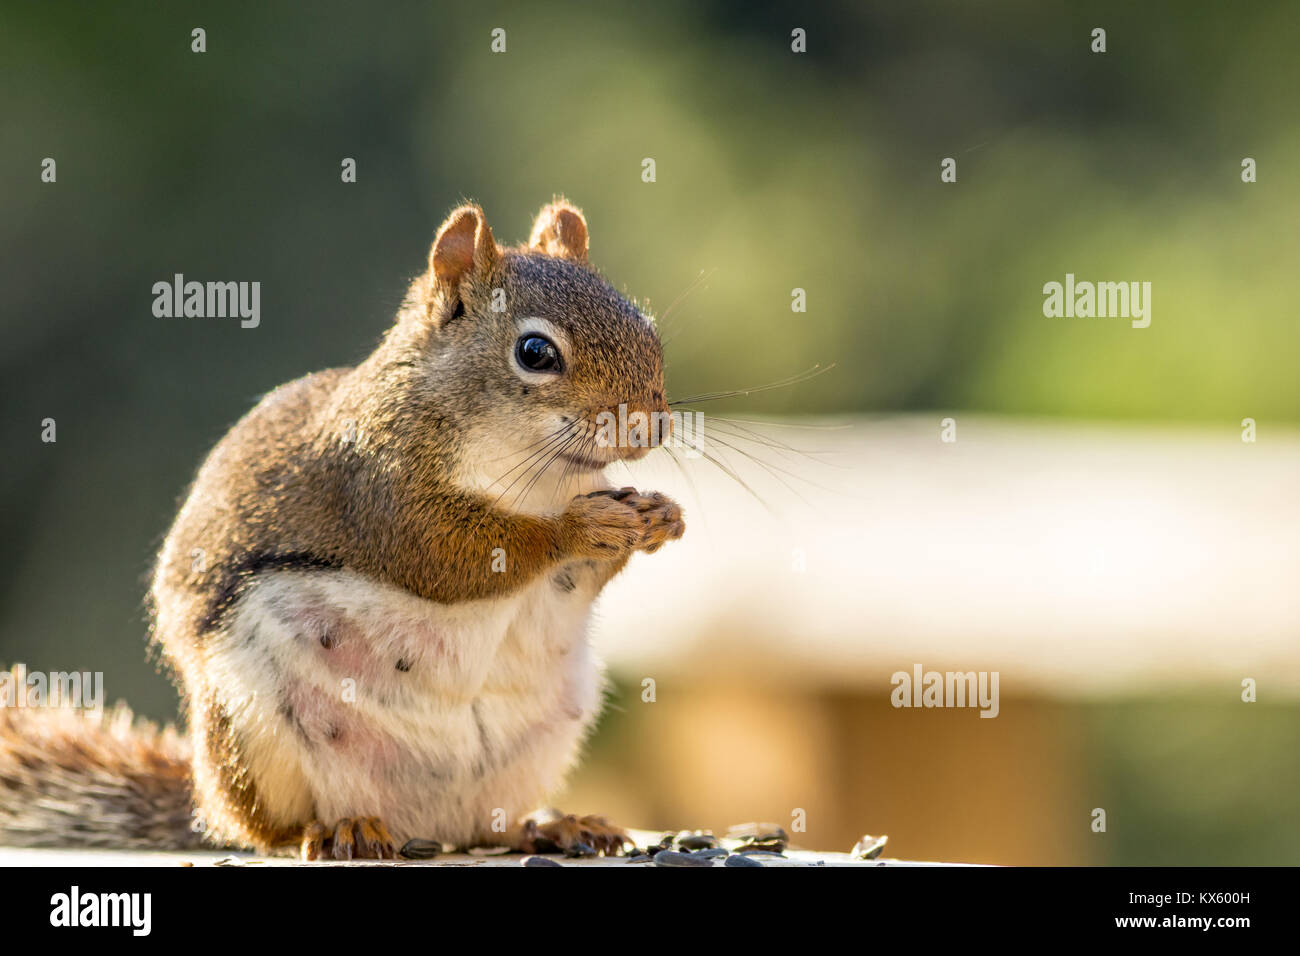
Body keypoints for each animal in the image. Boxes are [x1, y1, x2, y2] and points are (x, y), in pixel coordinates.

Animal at [0, 199, 685, 860]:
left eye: (647, 328)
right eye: (535, 353)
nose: (647, 427)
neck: (538, 475)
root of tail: (421, 820)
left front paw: (658, 515)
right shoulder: (377, 490)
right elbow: (453, 557)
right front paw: (582, 525)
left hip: (545, 736)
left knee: (490, 825)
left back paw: (551, 826)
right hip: (252, 730)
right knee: (269, 829)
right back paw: (336, 831)